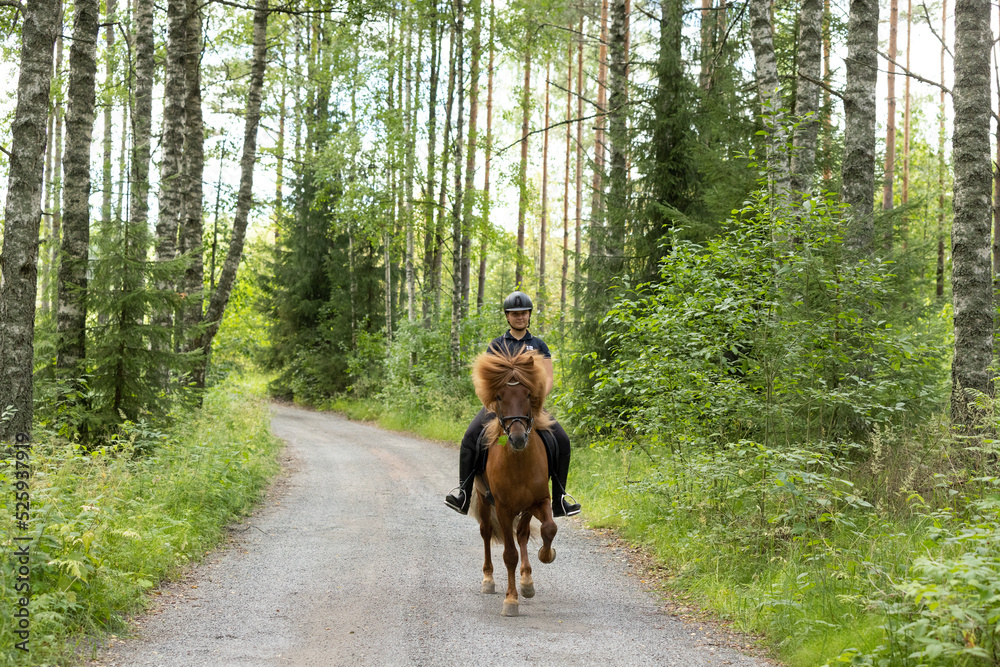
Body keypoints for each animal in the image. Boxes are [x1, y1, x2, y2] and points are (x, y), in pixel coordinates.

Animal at [468, 348, 558, 617]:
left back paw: (527, 581)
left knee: (523, 534)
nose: (518, 438)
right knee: (486, 532)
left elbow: (548, 529)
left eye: (528, 394)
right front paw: (511, 600)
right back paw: (488, 580)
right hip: (484, 501)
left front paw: (546, 555)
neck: (518, 462)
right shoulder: (503, 508)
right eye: (499, 396)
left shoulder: (539, 500)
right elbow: (509, 554)